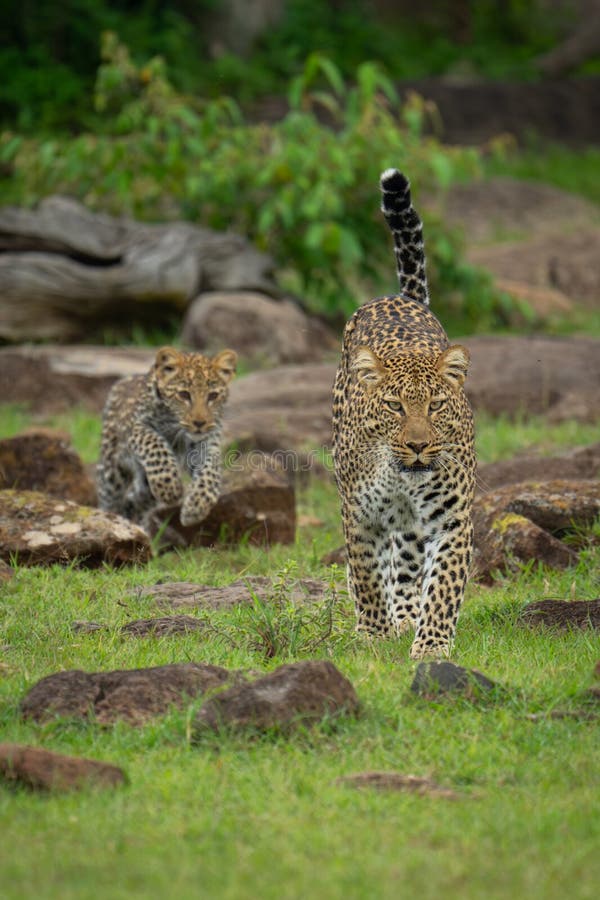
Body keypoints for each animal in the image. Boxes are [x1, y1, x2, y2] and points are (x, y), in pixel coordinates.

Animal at [97, 346, 237, 533]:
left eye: (213, 396)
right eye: (184, 395)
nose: (199, 423)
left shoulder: (207, 441)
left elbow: (210, 472)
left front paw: (195, 508)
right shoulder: (137, 427)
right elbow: (155, 444)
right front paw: (170, 489)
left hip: (145, 487)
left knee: (136, 502)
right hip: (112, 471)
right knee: (110, 497)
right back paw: (111, 519)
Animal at [332, 168, 476, 660]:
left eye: (436, 406)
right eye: (394, 406)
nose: (417, 445)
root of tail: (402, 298)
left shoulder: (453, 520)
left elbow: (444, 584)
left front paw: (430, 646)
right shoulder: (359, 516)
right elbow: (366, 576)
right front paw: (373, 635)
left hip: (416, 528)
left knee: (410, 564)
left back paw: (408, 616)